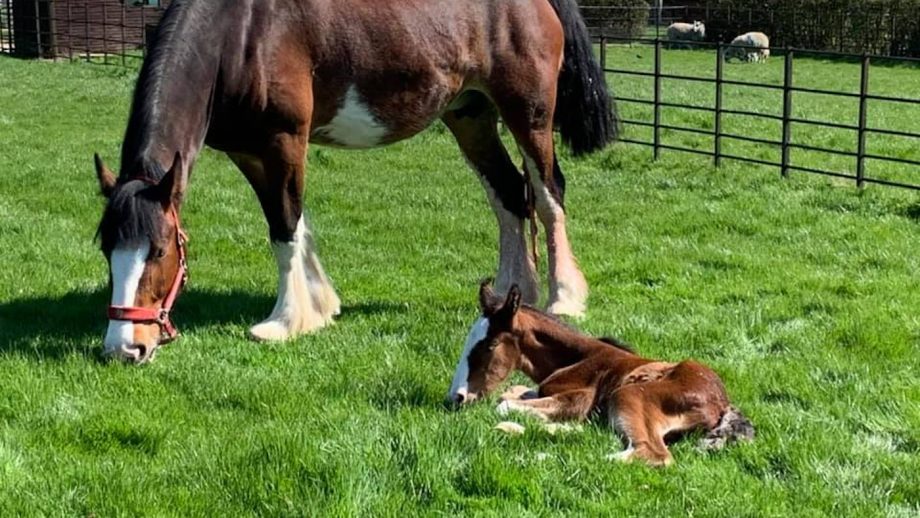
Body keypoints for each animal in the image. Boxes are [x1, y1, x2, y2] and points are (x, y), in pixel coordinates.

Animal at [93, 0, 617, 362]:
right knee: (509, 195)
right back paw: (514, 290)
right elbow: (295, 225)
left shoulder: (284, 141)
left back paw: (564, 297)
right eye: (106, 249)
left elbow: (284, 229)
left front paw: (285, 321)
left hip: (529, 114)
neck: (239, 35)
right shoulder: (250, 152)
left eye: (160, 251)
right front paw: (321, 306)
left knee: (548, 195)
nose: (125, 348)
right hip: (470, 114)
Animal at [447, 280, 754, 466]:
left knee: (651, 454)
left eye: (490, 345)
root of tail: (722, 404)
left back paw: (545, 454)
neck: (580, 356)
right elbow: (514, 394)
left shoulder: (581, 398)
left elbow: (503, 403)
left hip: (628, 394)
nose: (455, 398)